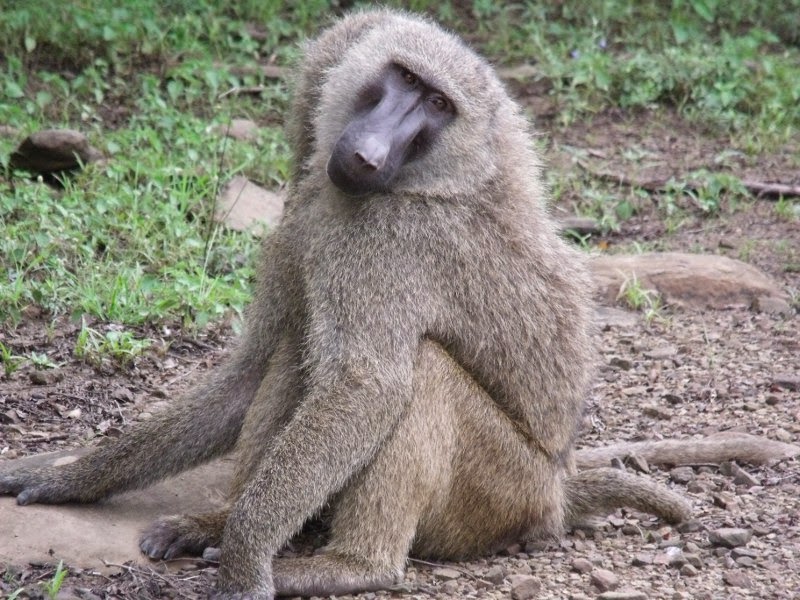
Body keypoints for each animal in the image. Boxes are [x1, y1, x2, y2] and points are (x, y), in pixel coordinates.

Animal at [1, 9, 797, 599]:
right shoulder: (304, 212)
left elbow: (369, 388)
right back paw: (224, 521)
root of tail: (559, 487)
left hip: (503, 491)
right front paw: (70, 478)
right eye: (401, 81)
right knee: (296, 352)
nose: (372, 152)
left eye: (437, 105)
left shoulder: (383, 237)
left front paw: (247, 561)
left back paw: (349, 567)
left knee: (421, 375)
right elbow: (249, 371)